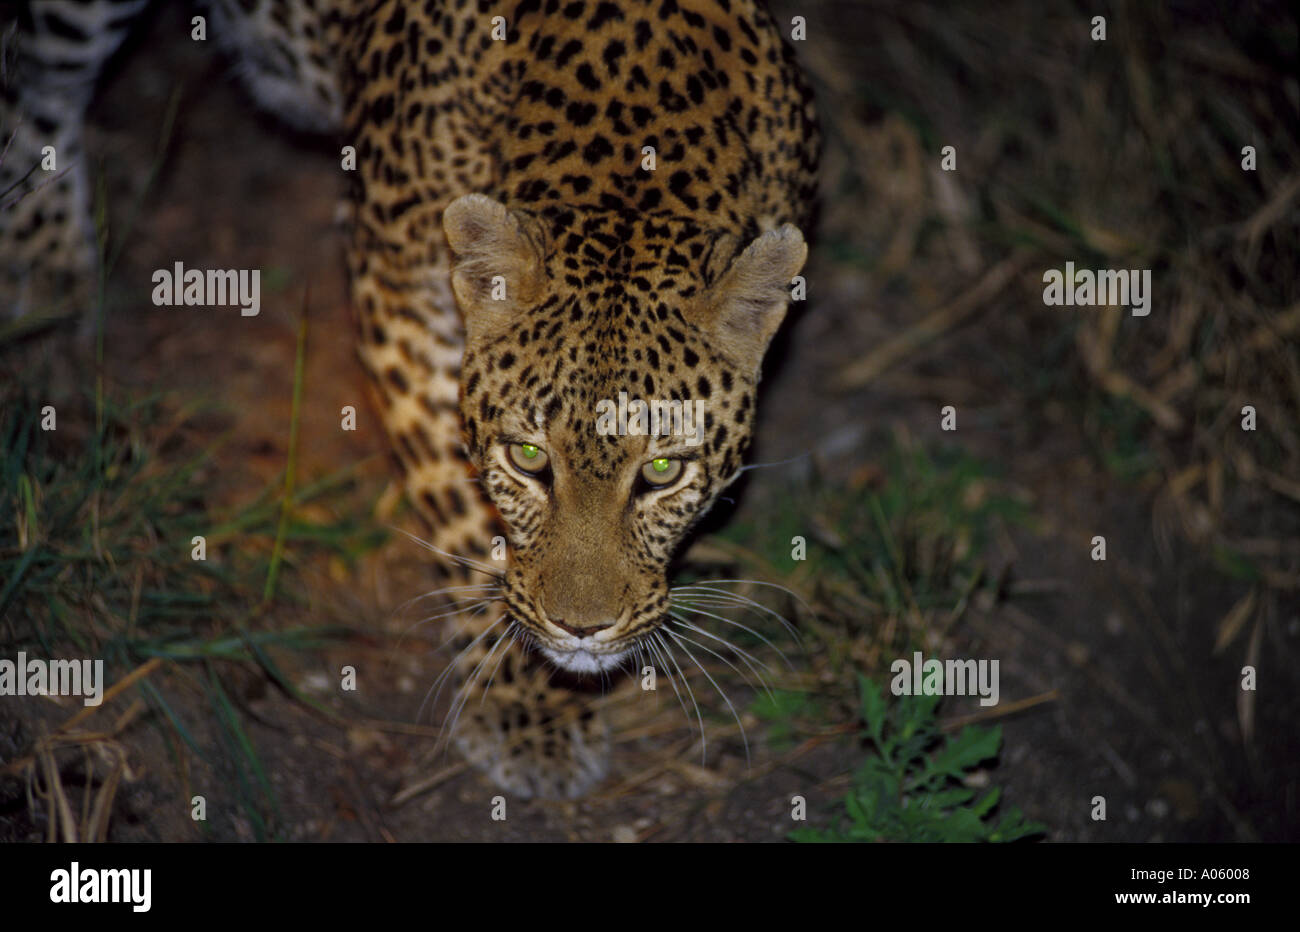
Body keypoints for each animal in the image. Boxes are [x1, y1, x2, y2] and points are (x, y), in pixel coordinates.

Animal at [1, 0, 820, 799]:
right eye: (529, 459)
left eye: (662, 473)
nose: (580, 630)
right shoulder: (394, 291)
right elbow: (465, 522)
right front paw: (523, 699)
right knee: (37, 76)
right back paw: (45, 277)